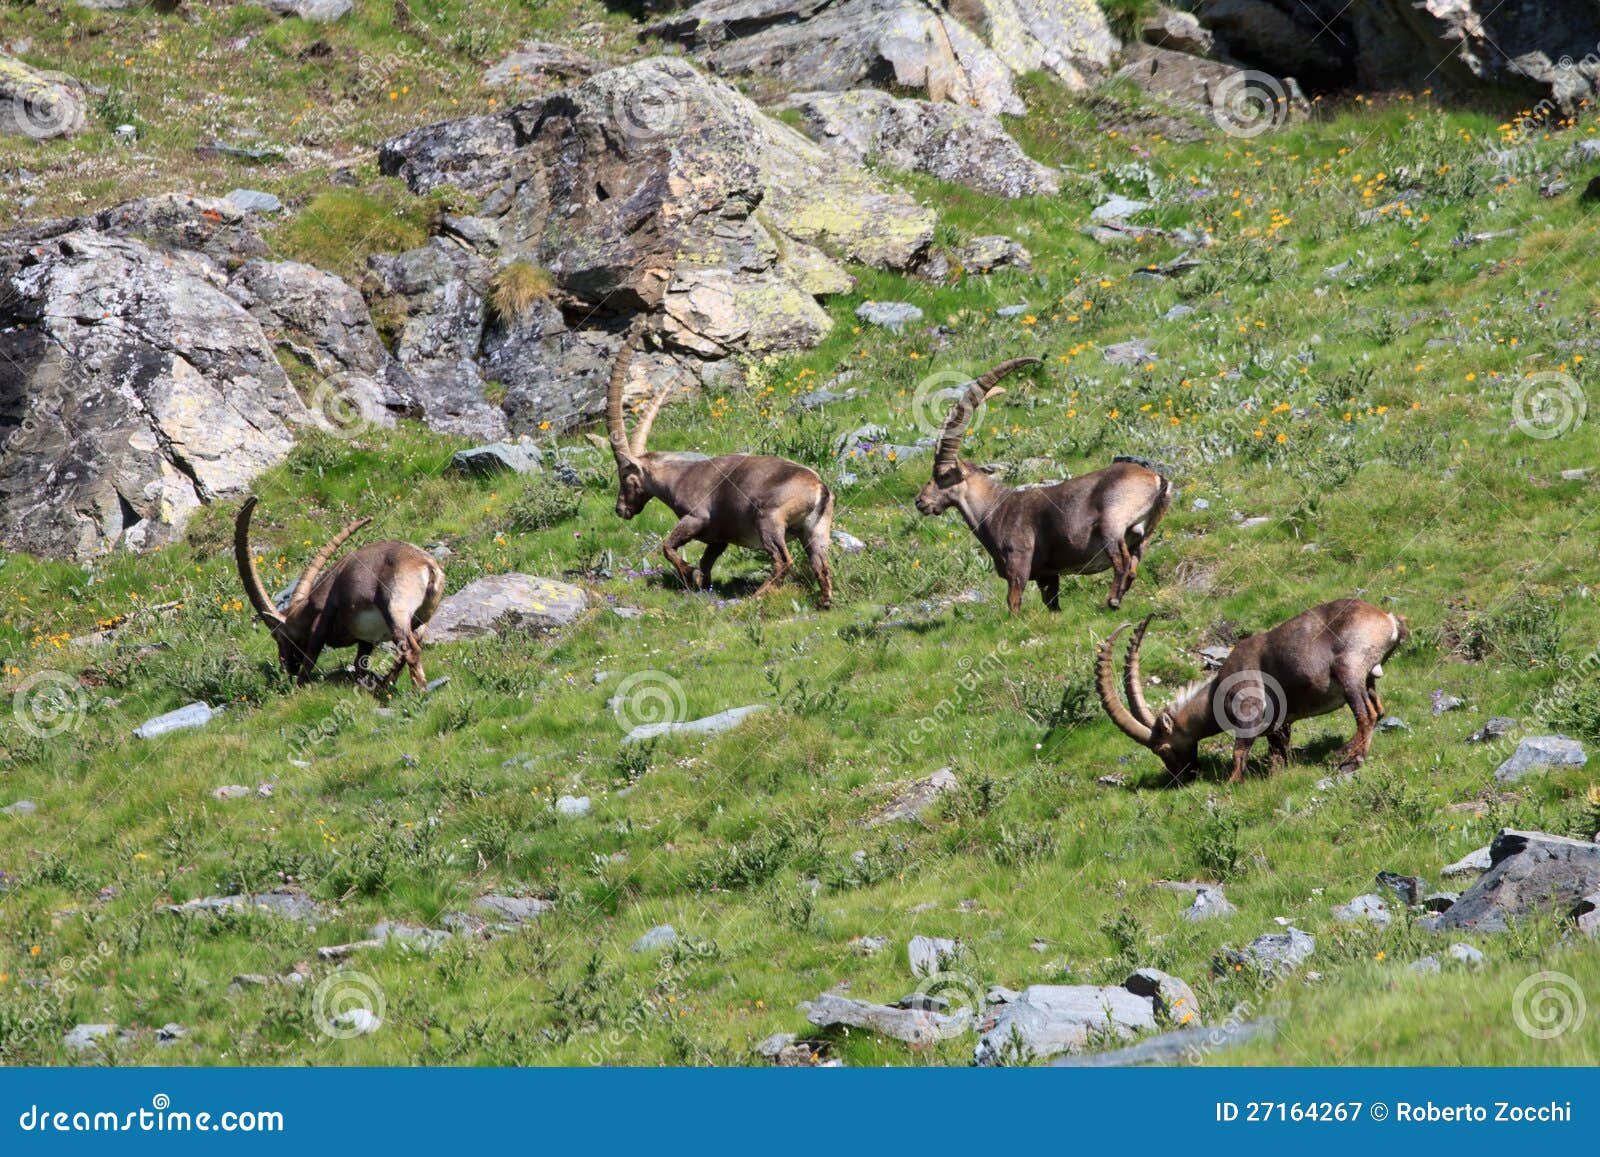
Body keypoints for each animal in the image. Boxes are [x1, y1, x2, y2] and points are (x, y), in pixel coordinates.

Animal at [233, 497, 446, 688]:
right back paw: (386, 684)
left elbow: (311, 656)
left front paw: (299, 686)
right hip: (421, 620)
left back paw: (418, 690)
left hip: (395, 610)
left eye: (280, 636)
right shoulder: (366, 639)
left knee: (409, 649)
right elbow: (360, 664)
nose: (287, 666)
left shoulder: (321, 621)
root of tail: (427, 566)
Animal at [587, 325, 835, 607]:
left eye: (624, 476)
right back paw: (824, 601)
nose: (621, 510)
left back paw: (755, 597)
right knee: (821, 564)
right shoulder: (719, 539)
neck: (677, 477)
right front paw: (701, 584)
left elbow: (668, 546)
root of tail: (819, 489)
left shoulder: (697, 518)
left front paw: (689, 573)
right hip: (816, 530)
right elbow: (706, 562)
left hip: (769, 521)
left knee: (783, 561)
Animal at [915, 359, 1173, 612]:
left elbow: (1014, 602)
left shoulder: (1018, 562)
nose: (920, 501)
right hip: (1143, 534)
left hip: (1113, 523)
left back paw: (1113, 601)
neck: (993, 509)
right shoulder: (1047, 575)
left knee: (1122, 561)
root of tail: (1157, 480)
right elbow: (1052, 603)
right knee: (1133, 564)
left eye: (943, 475)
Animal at [1096, 598, 1408, 783]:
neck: (1216, 693)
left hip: (1349, 671)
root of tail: (1388, 619)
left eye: (1162, 748)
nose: (1181, 779)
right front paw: (1275, 774)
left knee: (1366, 715)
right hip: (1367, 679)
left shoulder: (1250, 713)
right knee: (1377, 711)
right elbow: (1277, 751)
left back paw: (1347, 758)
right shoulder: (1280, 724)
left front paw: (1233, 783)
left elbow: (1239, 751)